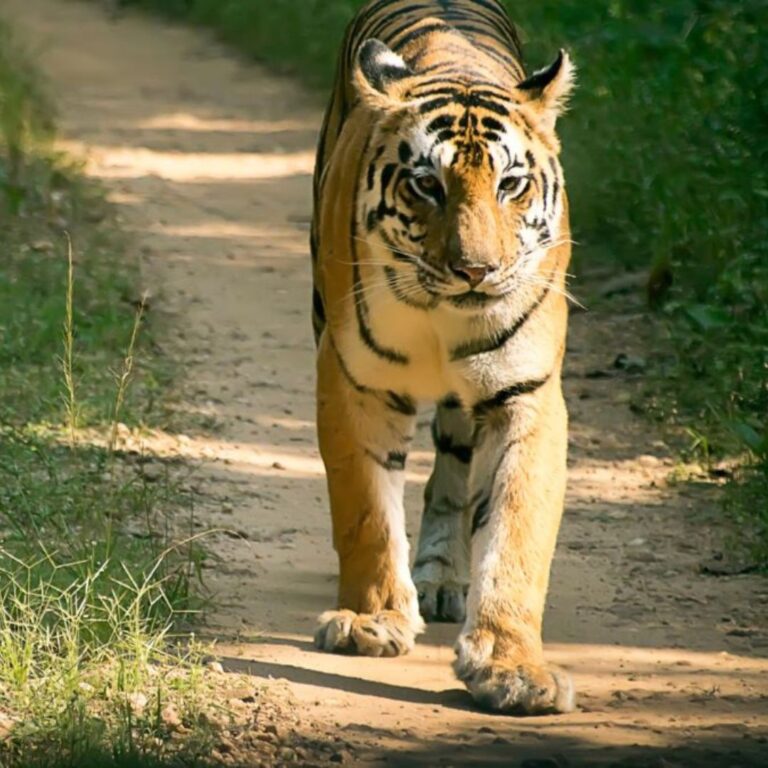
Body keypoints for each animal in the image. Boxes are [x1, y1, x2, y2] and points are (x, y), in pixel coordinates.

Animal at [310, 0, 576, 715]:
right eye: (427, 185)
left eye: (512, 184)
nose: (475, 271)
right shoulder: (352, 379)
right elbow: (365, 510)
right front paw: (370, 622)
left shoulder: (528, 395)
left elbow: (517, 534)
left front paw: (513, 667)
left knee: (454, 476)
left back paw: (441, 577)